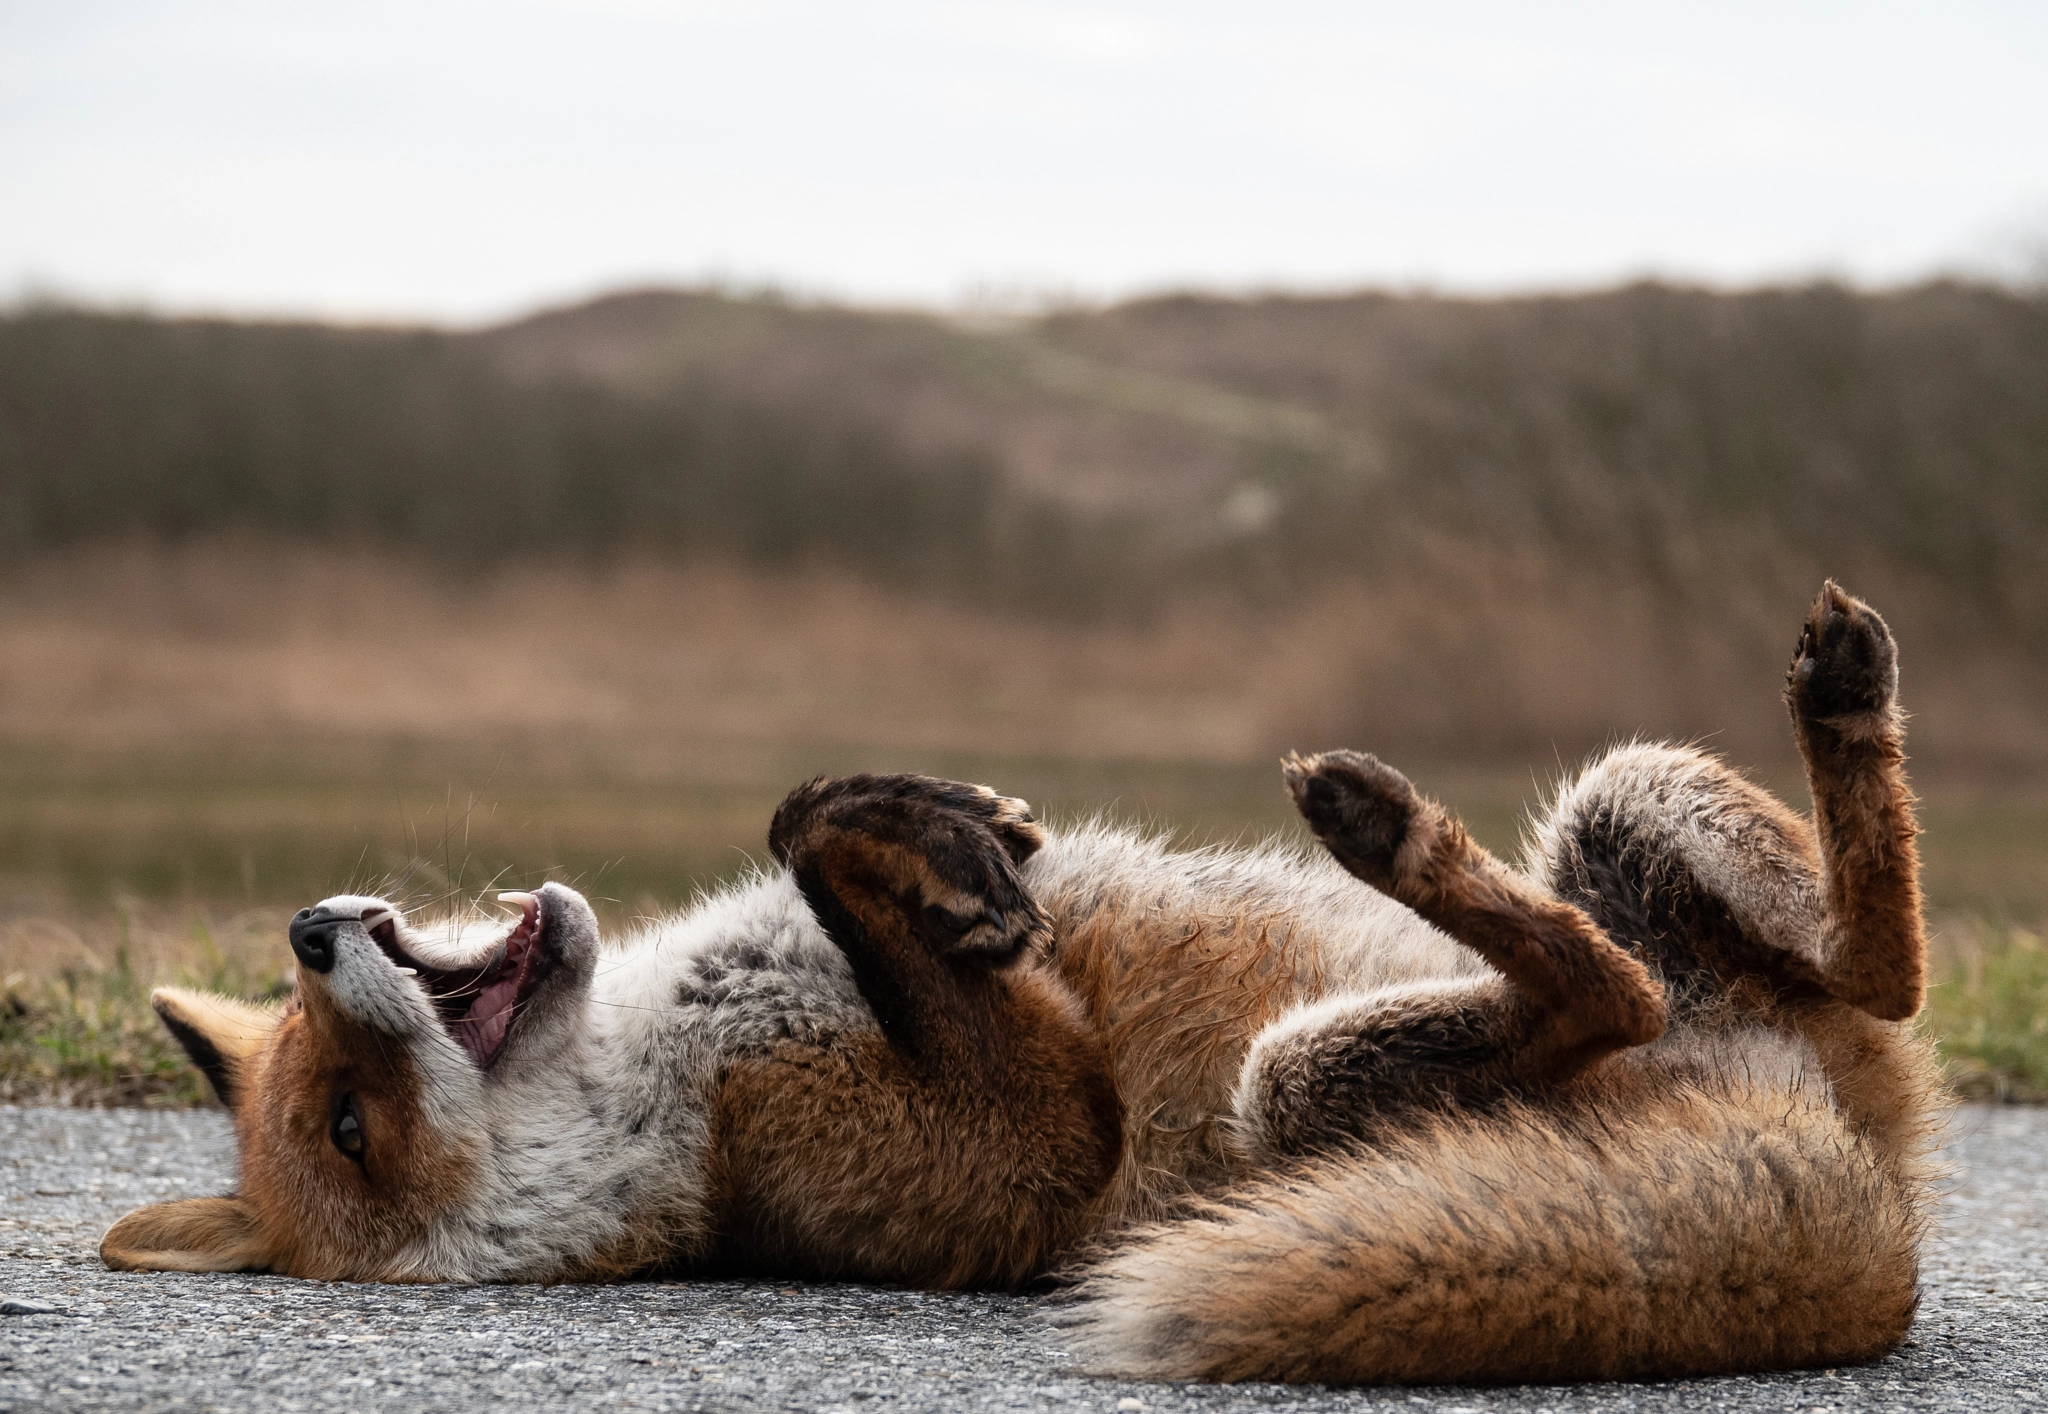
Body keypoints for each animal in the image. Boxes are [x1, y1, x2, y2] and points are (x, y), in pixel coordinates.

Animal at [100, 582, 1939, 1385]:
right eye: (349, 1126)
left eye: (328, 1086)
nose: (310, 927)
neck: (665, 1085)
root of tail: (1885, 1222)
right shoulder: (1030, 1145)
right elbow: (860, 886)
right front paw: (933, 857)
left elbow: (812, 819)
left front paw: (927, 818)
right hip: (1293, 1090)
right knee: (1626, 988)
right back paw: (1401, 833)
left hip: (1625, 798)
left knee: (1881, 962)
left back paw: (1841, 697)